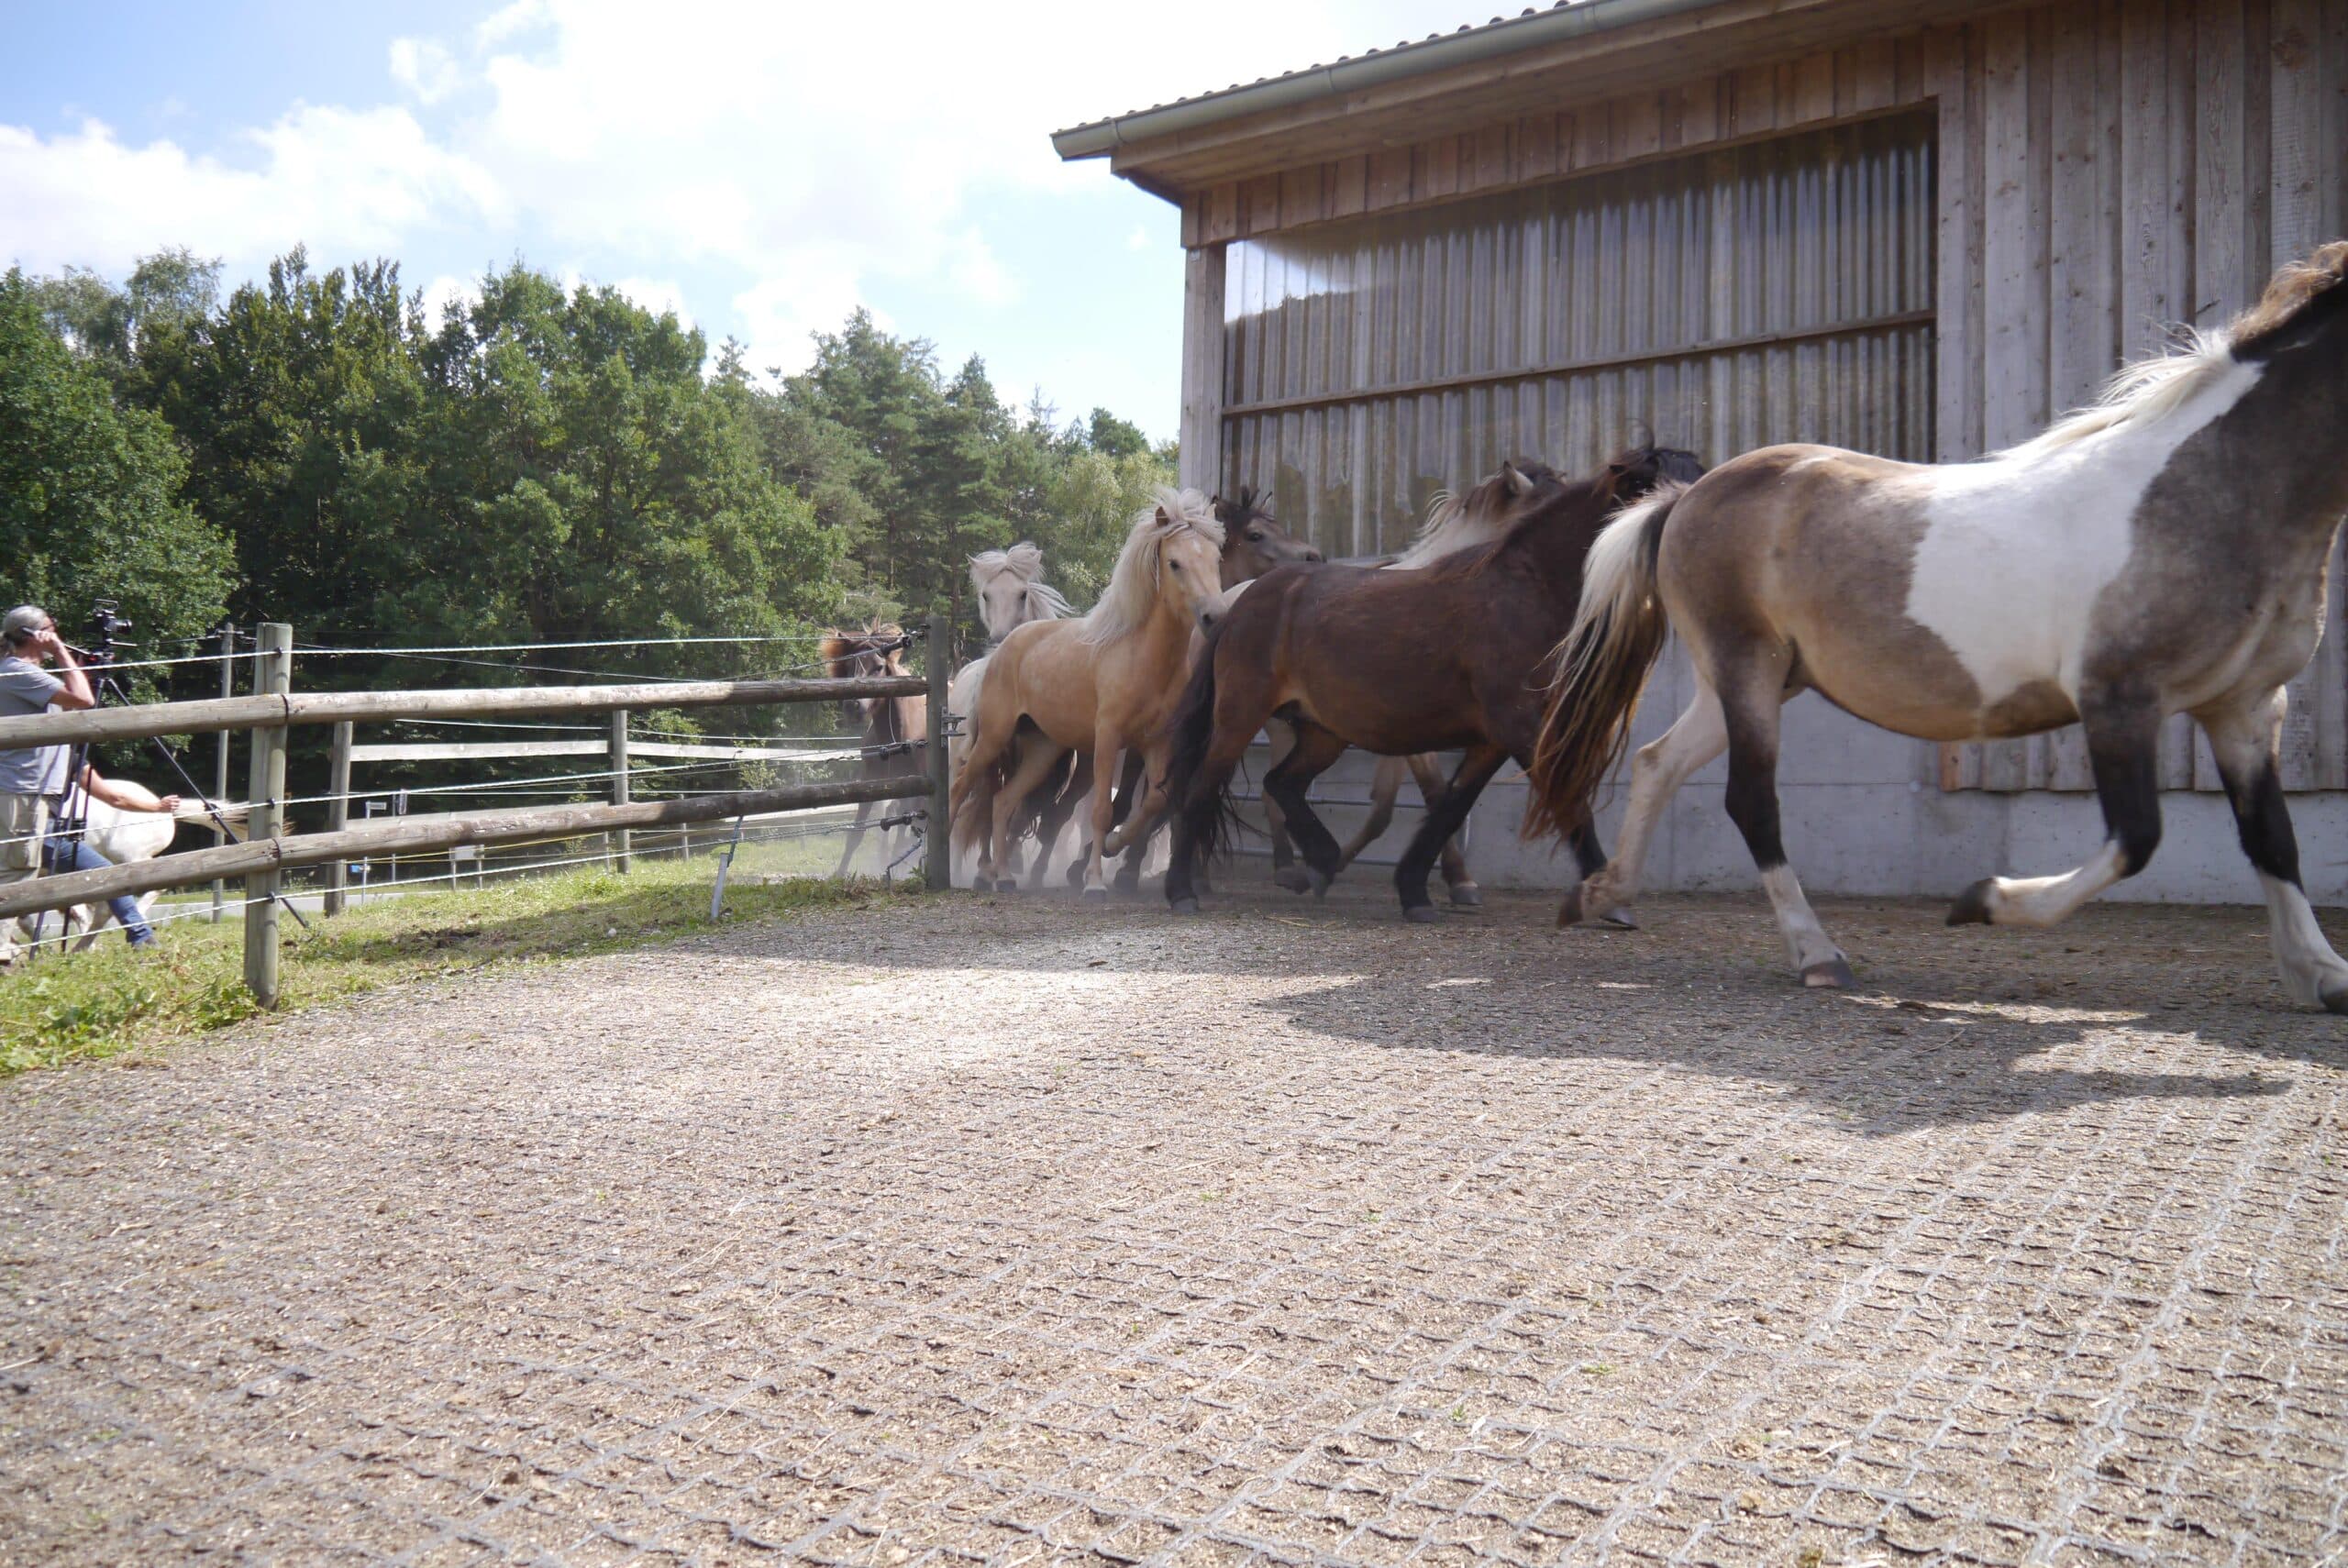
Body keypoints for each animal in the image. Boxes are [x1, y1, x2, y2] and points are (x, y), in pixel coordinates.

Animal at [822, 624, 929, 879]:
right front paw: (839, 875)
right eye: (849, 666)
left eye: (879, 667)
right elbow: (857, 832)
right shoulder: (871, 779)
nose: (853, 705)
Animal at [950, 488, 1227, 897]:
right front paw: (1094, 881)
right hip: (992, 740)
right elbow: (1102, 811)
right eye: (1175, 563)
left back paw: (1005, 877)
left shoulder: (1156, 744)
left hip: (1041, 752)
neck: (1141, 656)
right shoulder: (1107, 739)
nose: (1214, 617)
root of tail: (1002, 650)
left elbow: (1151, 803)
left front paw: (1113, 847)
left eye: (1215, 558)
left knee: (1002, 803)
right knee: (959, 792)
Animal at [1163, 447, 1707, 922]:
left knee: (1282, 783)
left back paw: (1321, 860)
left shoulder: (1491, 741)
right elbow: (1567, 802)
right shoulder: (1521, 728)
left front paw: (1418, 892)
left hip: (1323, 733)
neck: (1524, 591)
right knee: (1200, 788)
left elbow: (1449, 806)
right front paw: (1605, 898)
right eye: (1657, 496)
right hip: (1239, 718)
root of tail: (1239, 603)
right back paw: (1183, 890)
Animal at [1526, 242, 2348, 1008]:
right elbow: (2137, 838)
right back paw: (1817, 954)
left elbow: (2272, 837)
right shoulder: (2120, 699)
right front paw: (1981, 901)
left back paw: (1600, 896)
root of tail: (1683, 500)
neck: (2206, 492)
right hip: (1745, 668)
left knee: (1659, 762)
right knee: (1750, 802)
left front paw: (2322, 975)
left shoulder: (2246, 708)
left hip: (1764, 678)